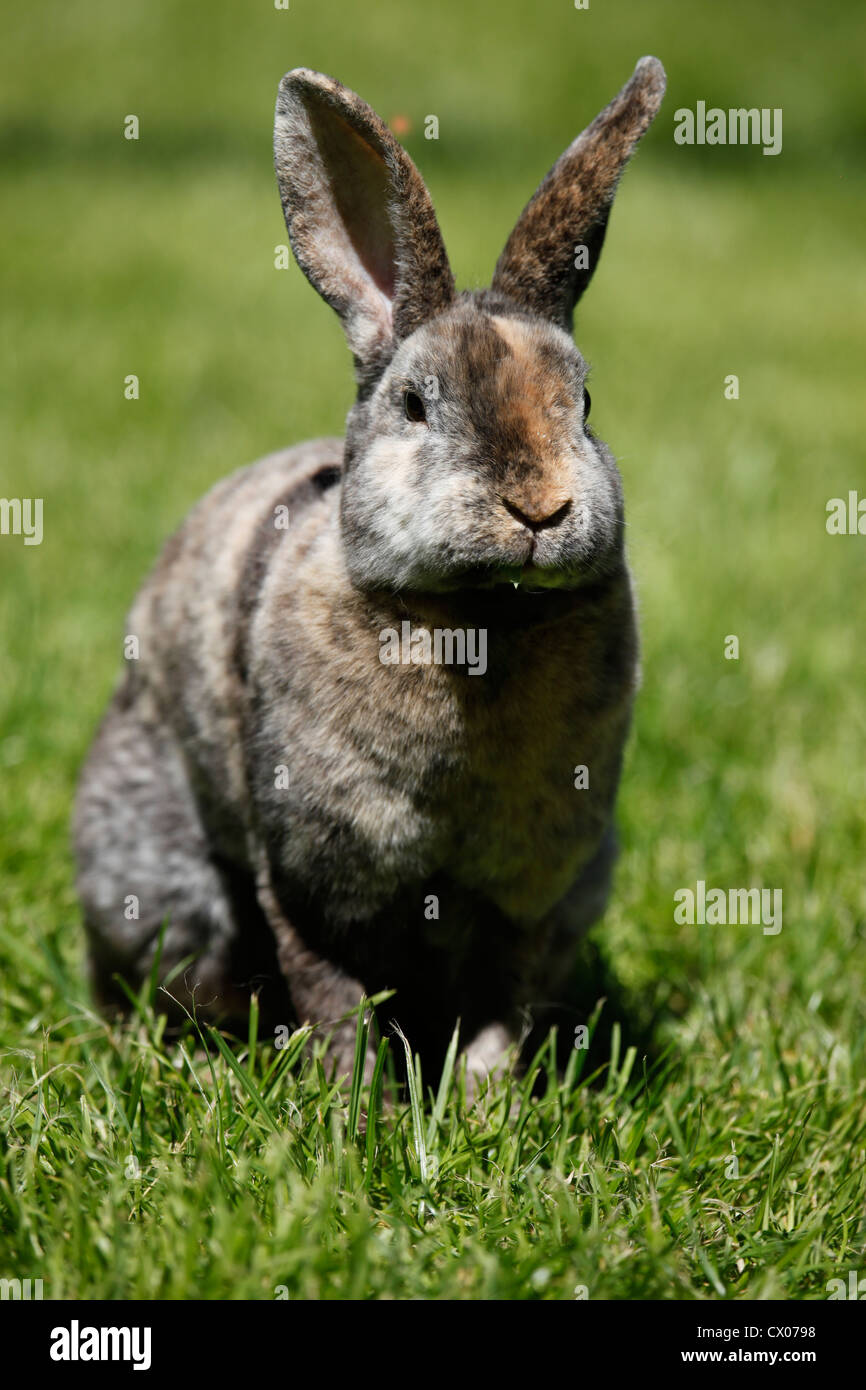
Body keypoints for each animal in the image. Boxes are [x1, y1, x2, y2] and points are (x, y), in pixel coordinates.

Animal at [73, 57, 666, 1090]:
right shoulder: (315, 880)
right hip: (156, 881)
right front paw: (362, 1109)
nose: (540, 508)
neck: (481, 623)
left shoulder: (532, 892)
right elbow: (336, 995)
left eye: (586, 403)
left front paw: (483, 1105)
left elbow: (502, 1006)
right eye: (416, 404)